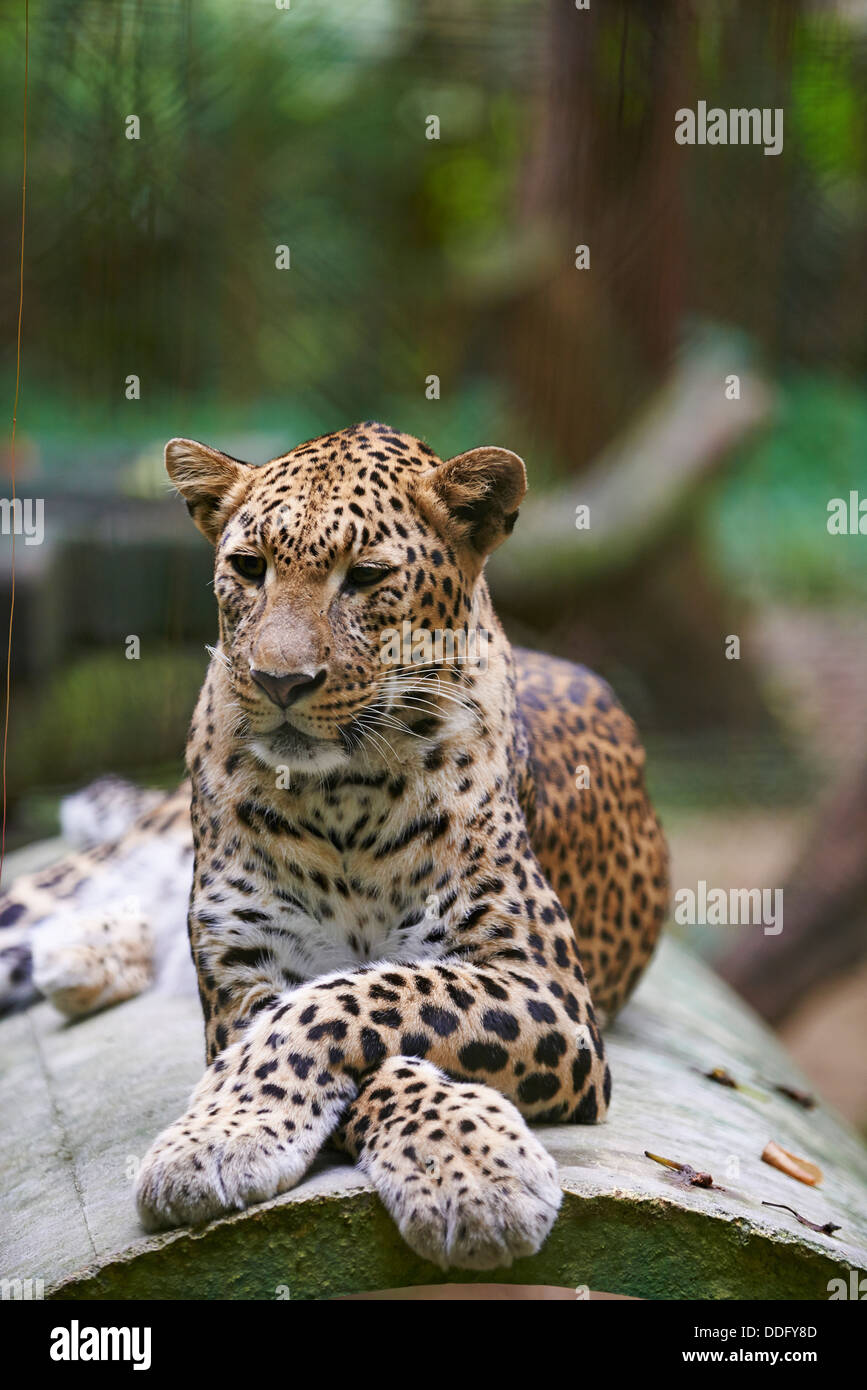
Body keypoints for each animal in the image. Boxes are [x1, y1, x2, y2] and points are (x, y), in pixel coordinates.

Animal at [0, 421, 668, 1270]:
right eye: (249, 568)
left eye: (367, 577)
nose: (277, 681)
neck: (343, 798)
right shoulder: (241, 981)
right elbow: (322, 1022)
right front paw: (227, 1134)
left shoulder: (547, 991)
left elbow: (353, 1000)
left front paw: (468, 1167)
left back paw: (82, 959)